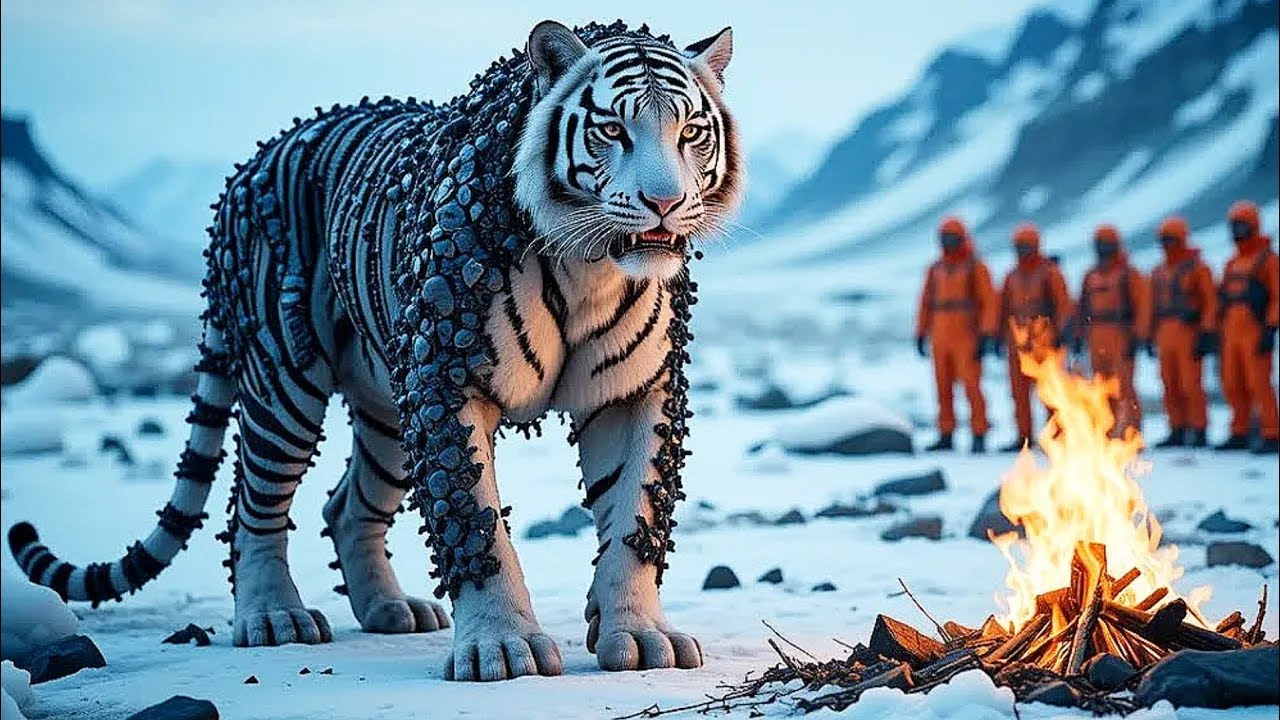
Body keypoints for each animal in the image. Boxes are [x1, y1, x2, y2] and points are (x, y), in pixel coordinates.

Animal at [7, 19, 741, 682]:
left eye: (690, 133)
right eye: (613, 131)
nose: (664, 202)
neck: (589, 265)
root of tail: (250, 166)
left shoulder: (632, 393)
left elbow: (632, 521)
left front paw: (639, 637)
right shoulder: (446, 382)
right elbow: (475, 522)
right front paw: (503, 649)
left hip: (390, 404)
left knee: (345, 505)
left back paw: (392, 610)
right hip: (285, 382)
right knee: (254, 504)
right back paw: (273, 617)